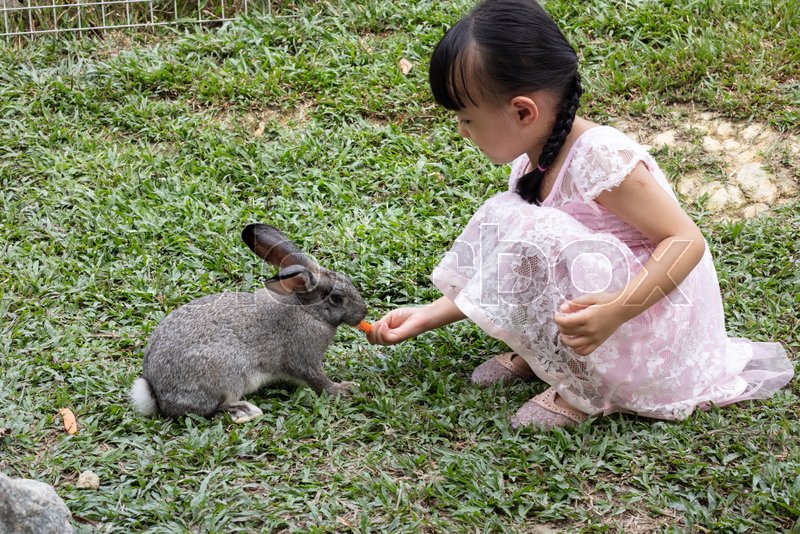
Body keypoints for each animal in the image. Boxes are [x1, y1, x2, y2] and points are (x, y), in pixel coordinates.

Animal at [130, 223, 367, 423]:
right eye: (337, 298)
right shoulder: (304, 358)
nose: (362, 313)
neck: (306, 309)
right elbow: (318, 381)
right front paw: (344, 389)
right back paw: (245, 411)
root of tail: (156, 394)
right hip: (225, 375)